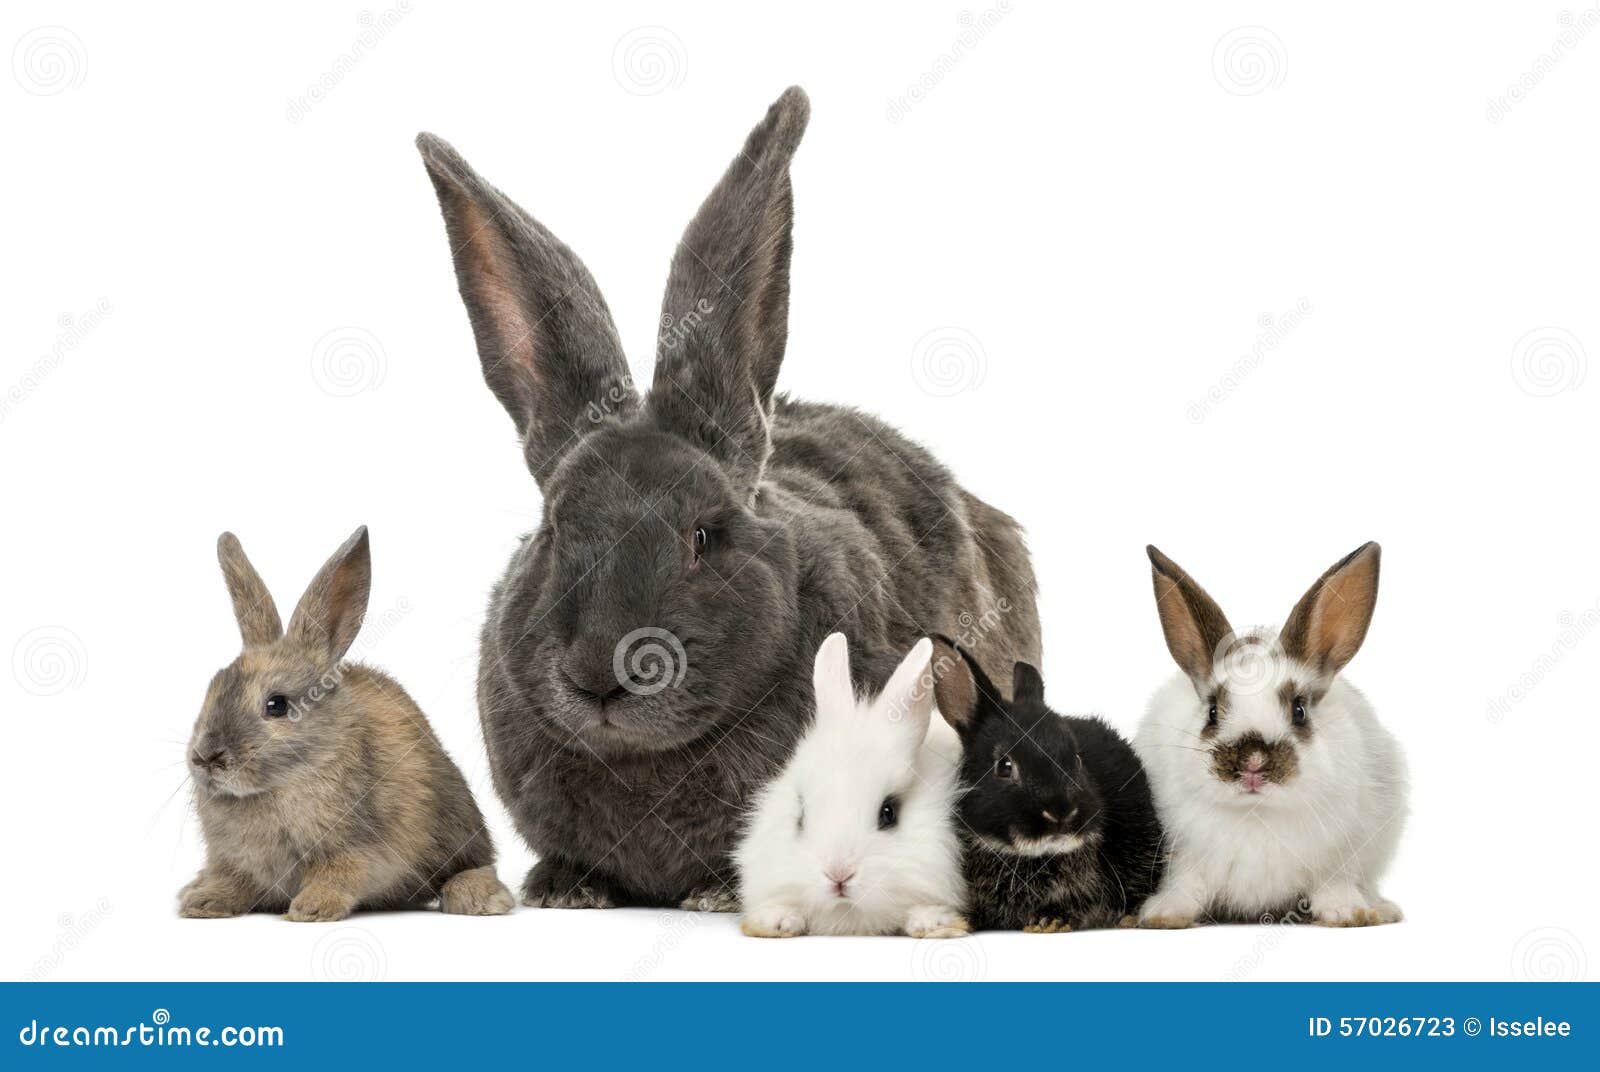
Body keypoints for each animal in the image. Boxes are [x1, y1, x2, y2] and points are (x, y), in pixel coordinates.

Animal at [178, 527, 514, 922]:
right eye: (212, 688)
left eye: (277, 705)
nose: (206, 757)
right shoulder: (233, 861)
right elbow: (232, 882)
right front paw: (202, 902)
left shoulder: (357, 849)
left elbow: (338, 875)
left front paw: (311, 908)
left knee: (472, 866)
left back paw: (479, 897)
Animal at [1133, 542, 1407, 929]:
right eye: (1212, 711)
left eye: (1299, 710)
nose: (1253, 763)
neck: (1257, 813)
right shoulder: (1183, 855)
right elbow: (1185, 884)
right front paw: (1165, 915)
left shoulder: (1339, 854)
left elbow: (1333, 884)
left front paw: (1347, 913)